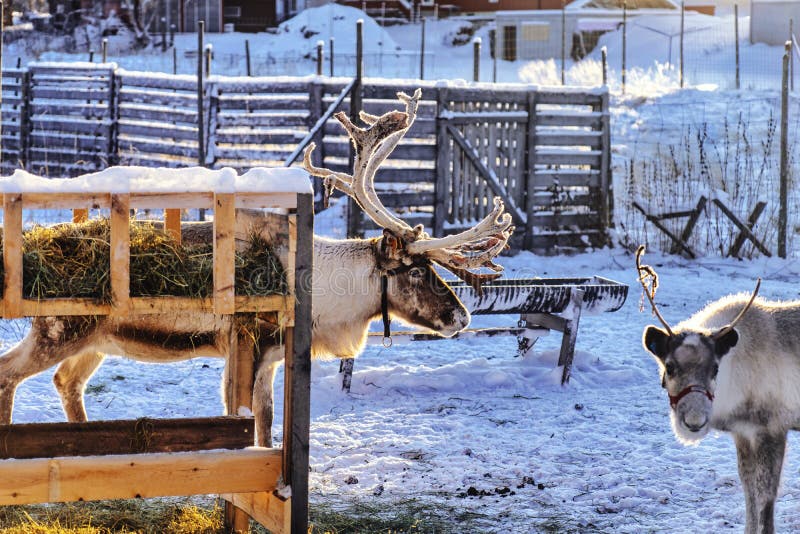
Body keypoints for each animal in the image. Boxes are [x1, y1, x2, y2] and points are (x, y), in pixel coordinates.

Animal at [0, 89, 514, 448]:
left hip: (96, 340)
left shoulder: (270, 358)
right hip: (59, 330)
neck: (324, 296)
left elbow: (265, 425)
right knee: (10, 373)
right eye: (415, 270)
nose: (461, 316)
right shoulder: (246, 347)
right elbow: (249, 422)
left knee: (66, 382)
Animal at [636, 246, 800, 534]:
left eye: (714, 368)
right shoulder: (743, 434)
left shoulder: (772, 430)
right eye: (670, 367)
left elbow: (766, 499)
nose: (694, 422)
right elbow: (748, 492)